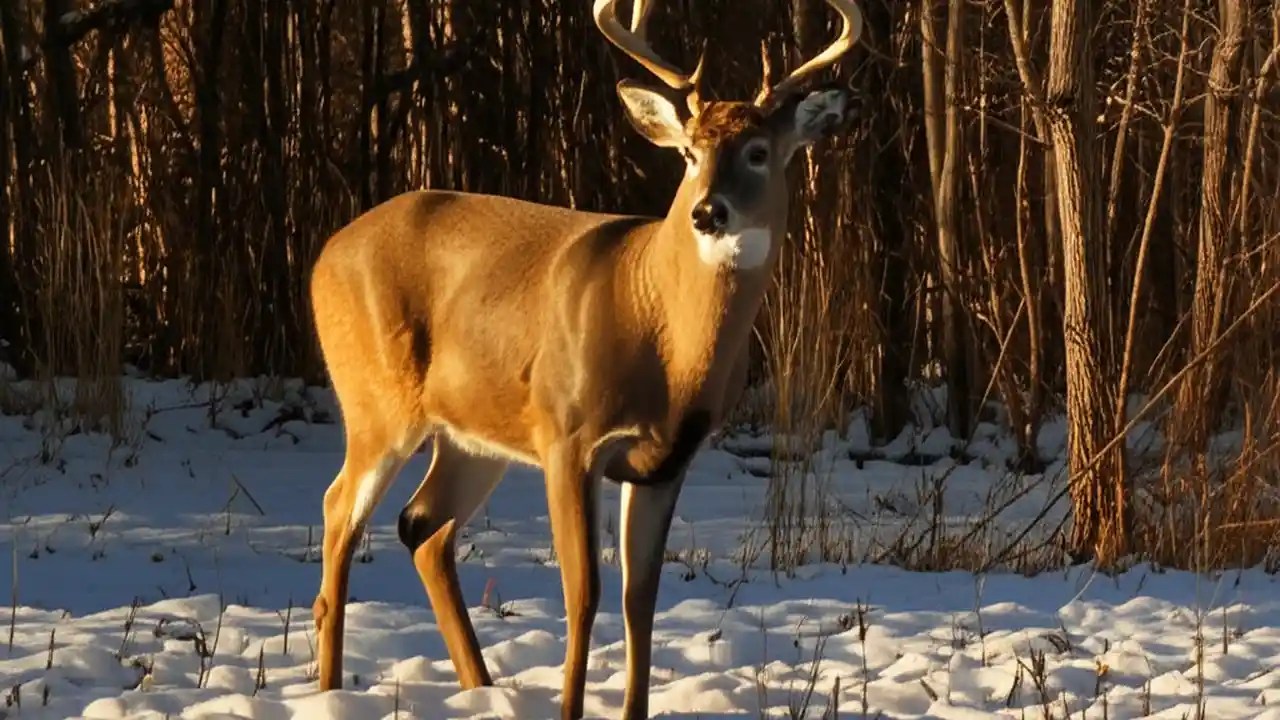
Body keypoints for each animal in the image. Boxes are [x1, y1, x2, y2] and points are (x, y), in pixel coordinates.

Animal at [306, 0, 862, 717]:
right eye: (689, 152)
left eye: (759, 151)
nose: (708, 213)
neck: (667, 343)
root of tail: (324, 255)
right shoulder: (568, 434)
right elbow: (583, 595)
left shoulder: (666, 461)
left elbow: (639, 602)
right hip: (376, 401)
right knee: (338, 512)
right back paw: (330, 689)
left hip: (473, 436)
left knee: (423, 529)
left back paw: (480, 687)